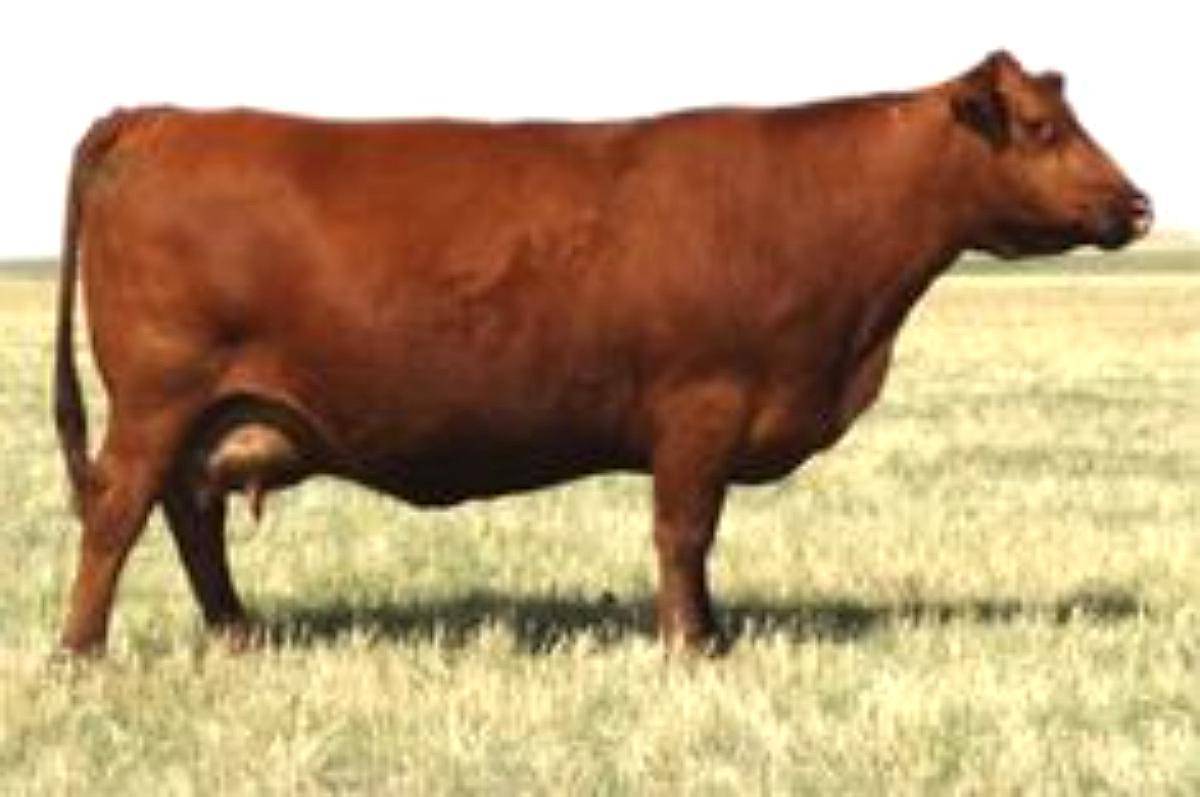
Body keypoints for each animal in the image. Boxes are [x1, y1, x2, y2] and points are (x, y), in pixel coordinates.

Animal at [54, 51, 1150, 655]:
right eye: (1041, 125)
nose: (1137, 204)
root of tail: (158, 117)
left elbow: (694, 543)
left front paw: (712, 636)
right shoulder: (702, 407)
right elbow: (683, 534)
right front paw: (689, 646)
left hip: (209, 413)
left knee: (188, 514)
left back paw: (236, 632)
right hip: (157, 399)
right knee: (115, 514)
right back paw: (81, 652)